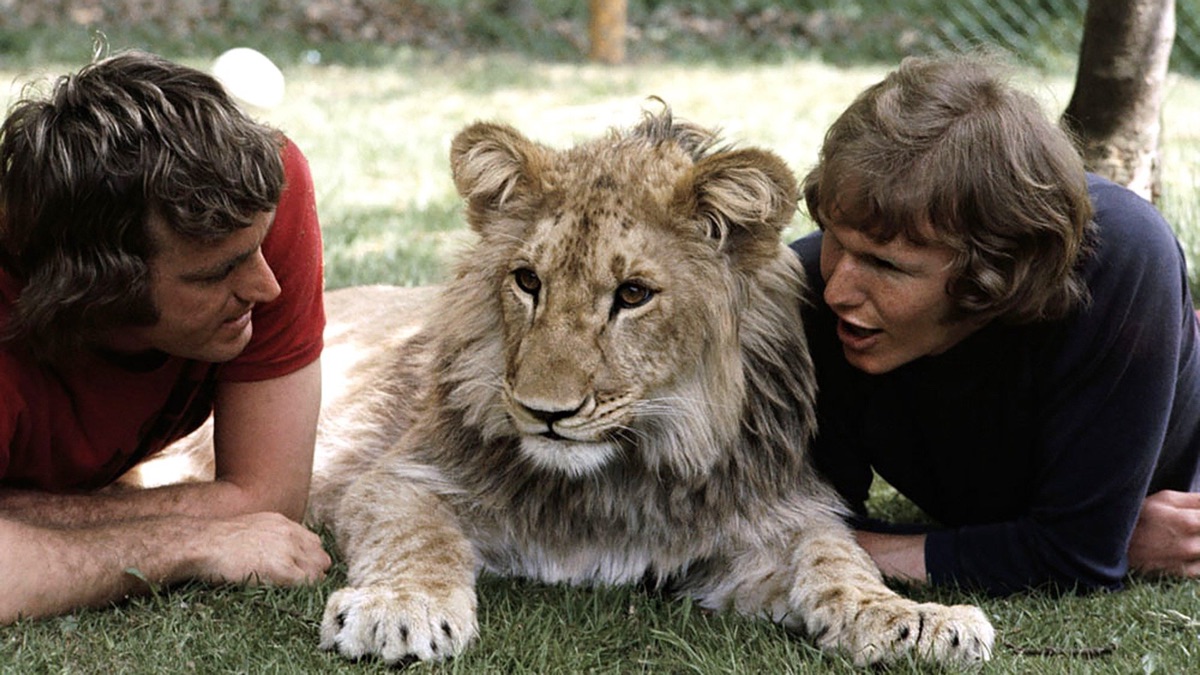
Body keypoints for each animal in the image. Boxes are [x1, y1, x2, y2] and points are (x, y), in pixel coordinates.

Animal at [306, 107, 996, 667]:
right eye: (528, 281)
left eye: (633, 294)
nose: (543, 412)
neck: (621, 479)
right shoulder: (396, 476)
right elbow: (417, 540)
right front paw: (398, 609)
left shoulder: (763, 520)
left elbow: (838, 557)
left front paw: (914, 618)